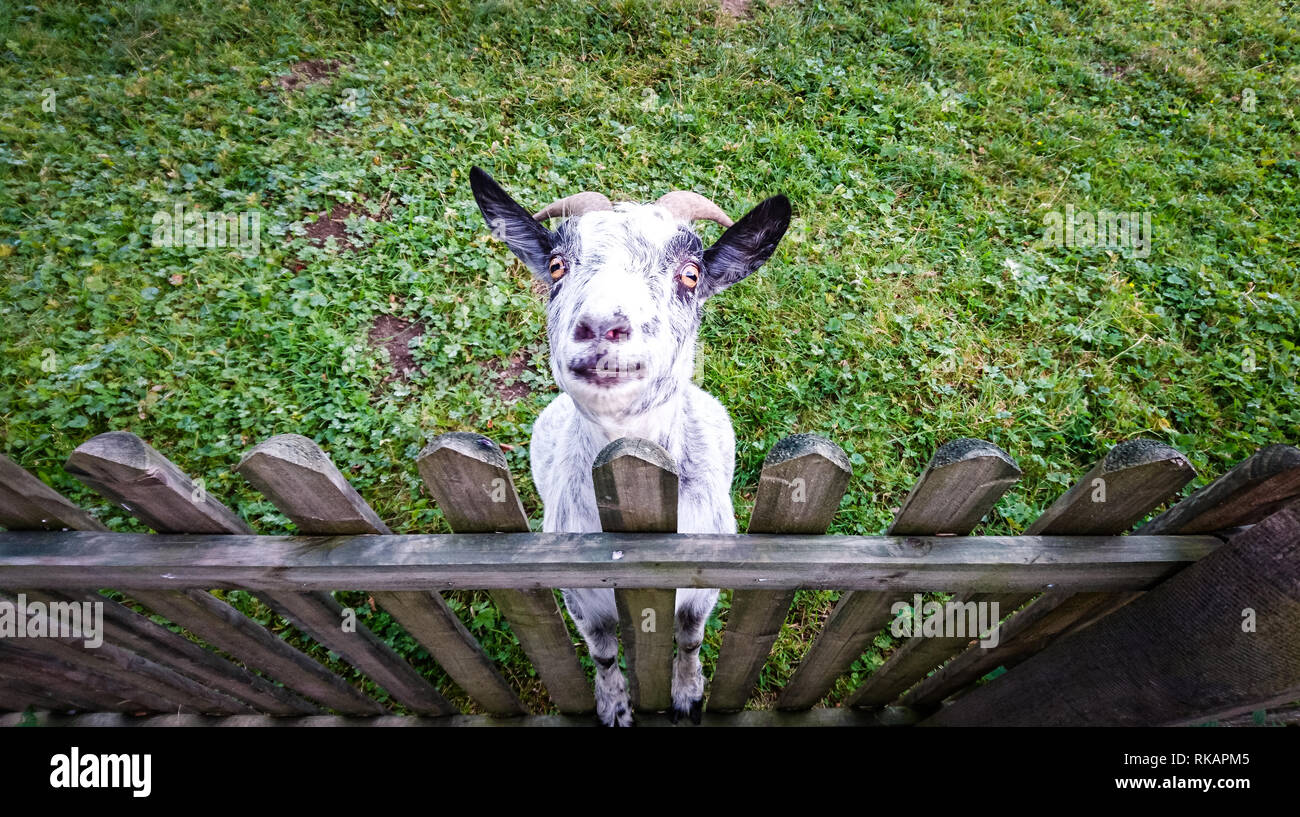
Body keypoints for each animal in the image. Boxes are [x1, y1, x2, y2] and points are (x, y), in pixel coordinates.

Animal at [470, 167, 790, 726]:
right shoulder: (583, 601)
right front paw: (614, 705)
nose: (602, 327)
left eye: (691, 274)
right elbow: (601, 652)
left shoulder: (701, 591)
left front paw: (687, 695)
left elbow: (690, 639)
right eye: (556, 265)